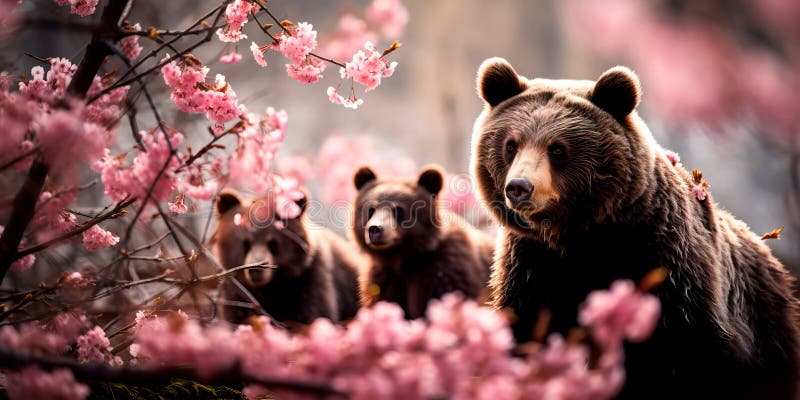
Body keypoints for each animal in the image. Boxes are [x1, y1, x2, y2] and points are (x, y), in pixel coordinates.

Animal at [211, 189, 362, 327]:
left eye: (273, 243)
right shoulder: (236, 291)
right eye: (245, 243)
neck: (271, 287)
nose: (256, 269)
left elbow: (313, 314)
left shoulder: (309, 279)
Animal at [470, 58, 799, 399]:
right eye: (511, 145)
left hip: (765, 323)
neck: (583, 235)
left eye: (557, 149)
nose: (519, 187)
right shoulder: (533, 265)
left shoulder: (666, 261)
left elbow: (689, 350)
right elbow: (525, 330)